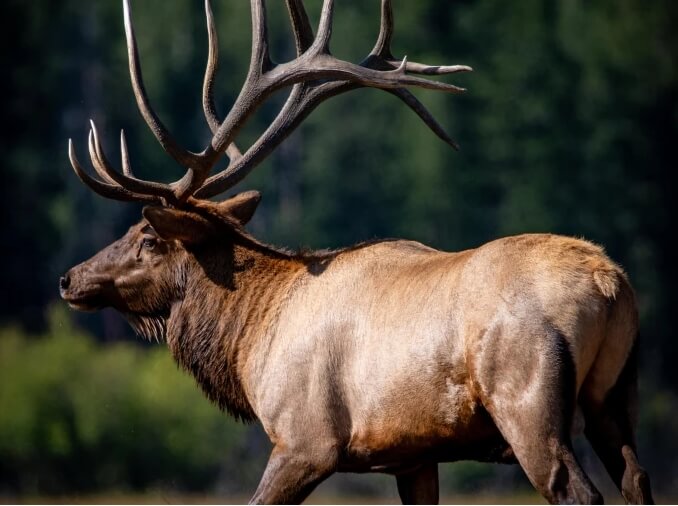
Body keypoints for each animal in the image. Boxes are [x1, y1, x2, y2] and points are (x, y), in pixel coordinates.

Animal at [59, 0, 654, 504]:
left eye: (148, 237)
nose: (69, 278)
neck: (250, 336)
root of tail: (609, 283)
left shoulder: (305, 441)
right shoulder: (411, 456)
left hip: (527, 400)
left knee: (578, 490)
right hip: (614, 398)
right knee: (636, 480)